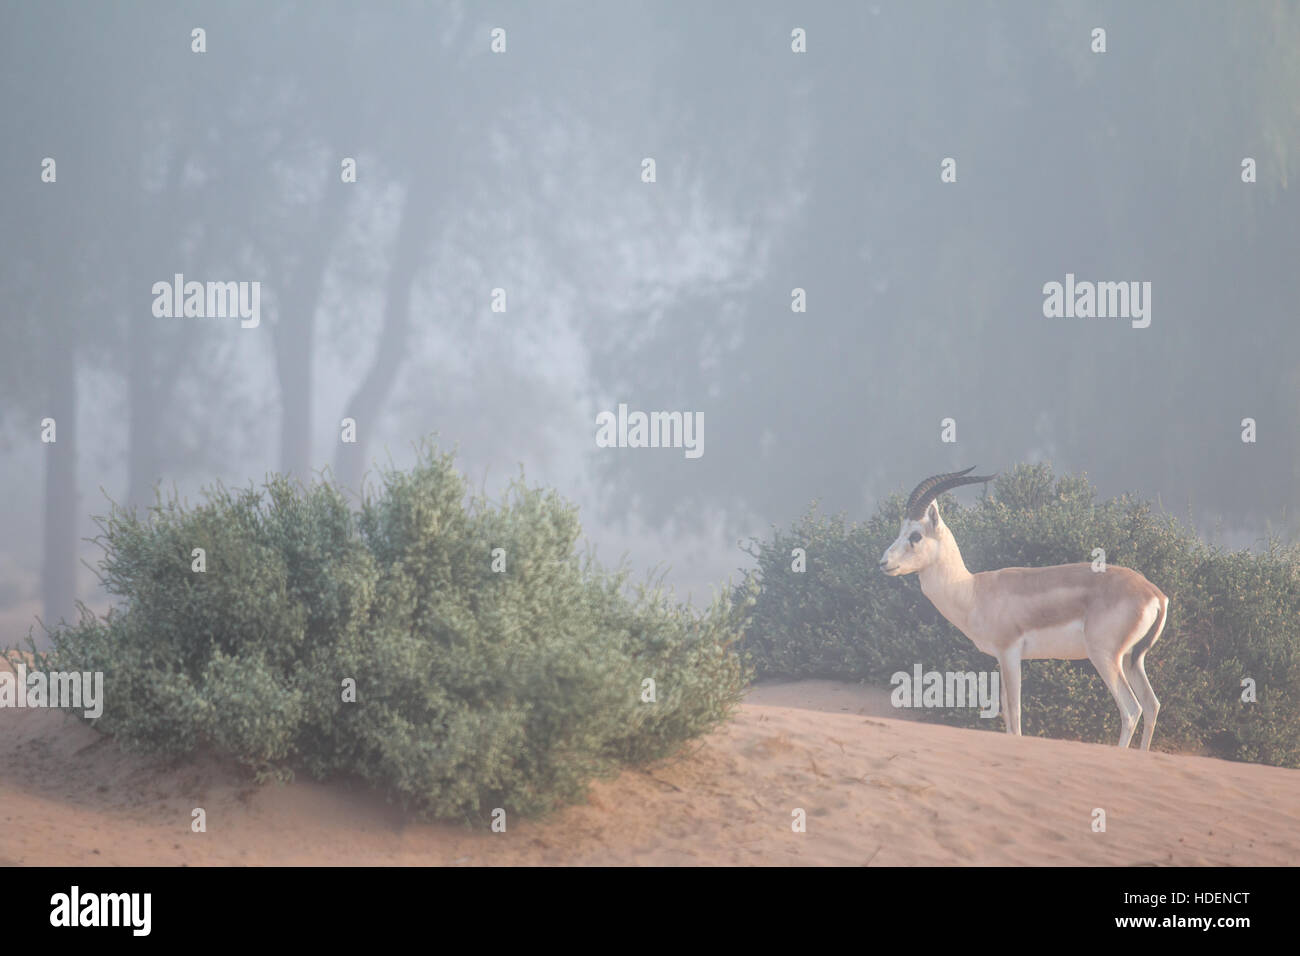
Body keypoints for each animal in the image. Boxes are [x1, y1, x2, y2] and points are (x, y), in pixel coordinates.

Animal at [879, 468, 1169, 749]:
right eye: (901, 531)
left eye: (915, 535)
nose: (883, 563)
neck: (973, 591)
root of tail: (1154, 593)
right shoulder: (1000, 657)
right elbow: (1007, 713)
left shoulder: (1010, 652)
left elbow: (1015, 712)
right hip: (1132, 659)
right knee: (1152, 705)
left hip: (1105, 657)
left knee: (1131, 710)